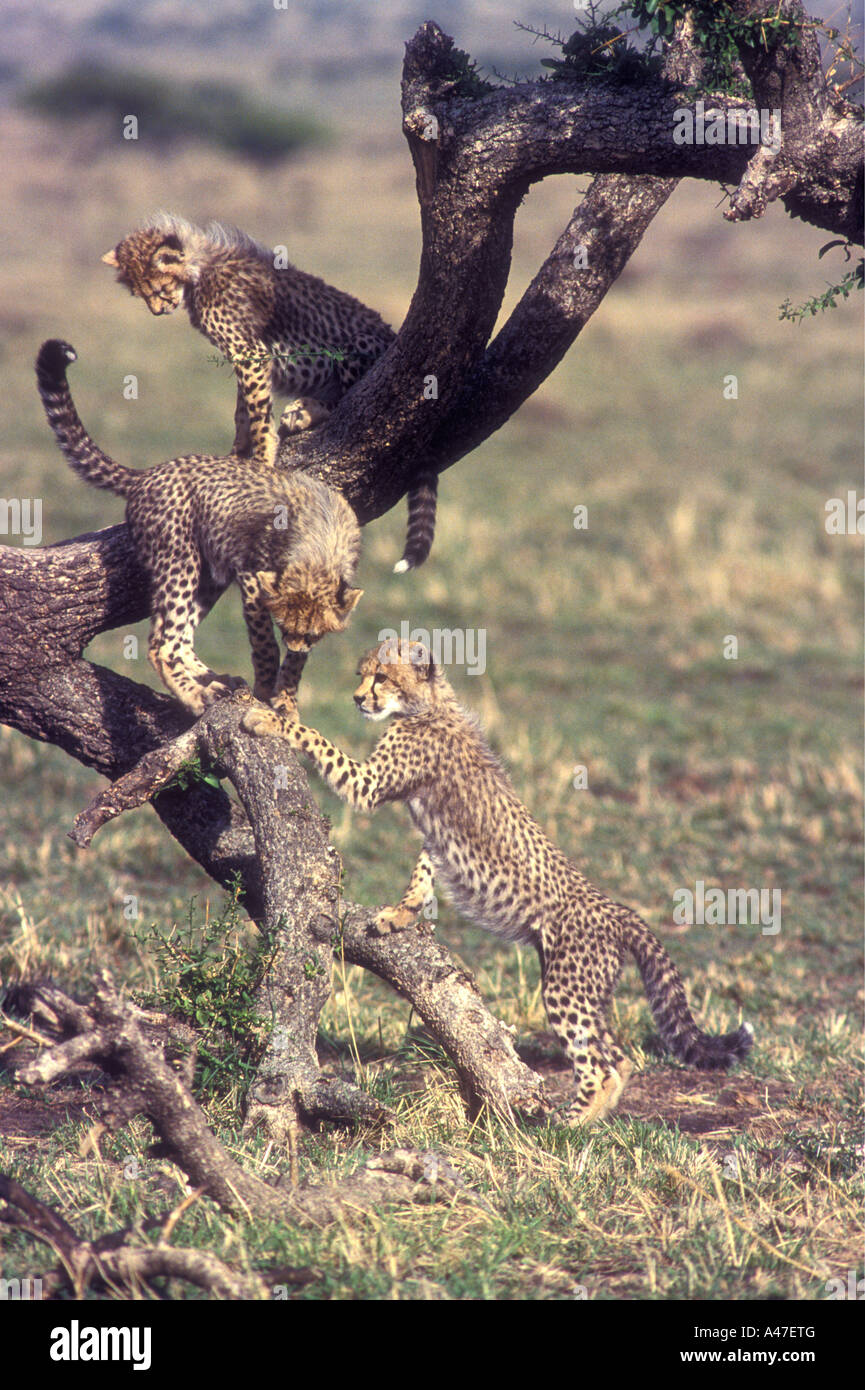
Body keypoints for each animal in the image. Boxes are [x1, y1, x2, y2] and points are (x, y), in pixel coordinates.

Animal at [36, 338, 363, 716]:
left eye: (312, 634)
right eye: (284, 627)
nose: (296, 645)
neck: (320, 547)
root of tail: (149, 473)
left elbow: (295, 662)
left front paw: (287, 699)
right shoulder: (252, 576)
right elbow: (265, 643)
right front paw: (266, 688)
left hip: (207, 574)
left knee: (180, 637)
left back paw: (213, 679)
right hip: (180, 561)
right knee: (161, 643)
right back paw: (194, 695)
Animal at [102, 213, 438, 571]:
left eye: (159, 288)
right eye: (139, 293)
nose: (156, 310)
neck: (199, 268)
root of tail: (393, 336)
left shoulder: (250, 353)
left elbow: (258, 413)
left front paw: (262, 459)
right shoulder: (245, 360)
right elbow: (242, 412)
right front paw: (237, 454)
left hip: (353, 346)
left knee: (351, 401)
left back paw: (304, 413)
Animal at [243, 638, 753, 1124]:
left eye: (381, 677)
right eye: (361, 674)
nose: (356, 698)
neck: (427, 706)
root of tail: (616, 909)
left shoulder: (370, 783)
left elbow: (319, 741)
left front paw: (268, 718)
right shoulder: (436, 834)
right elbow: (425, 868)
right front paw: (401, 913)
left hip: (566, 987)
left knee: (599, 1064)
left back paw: (569, 1123)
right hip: (587, 988)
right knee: (620, 1056)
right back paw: (592, 1119)